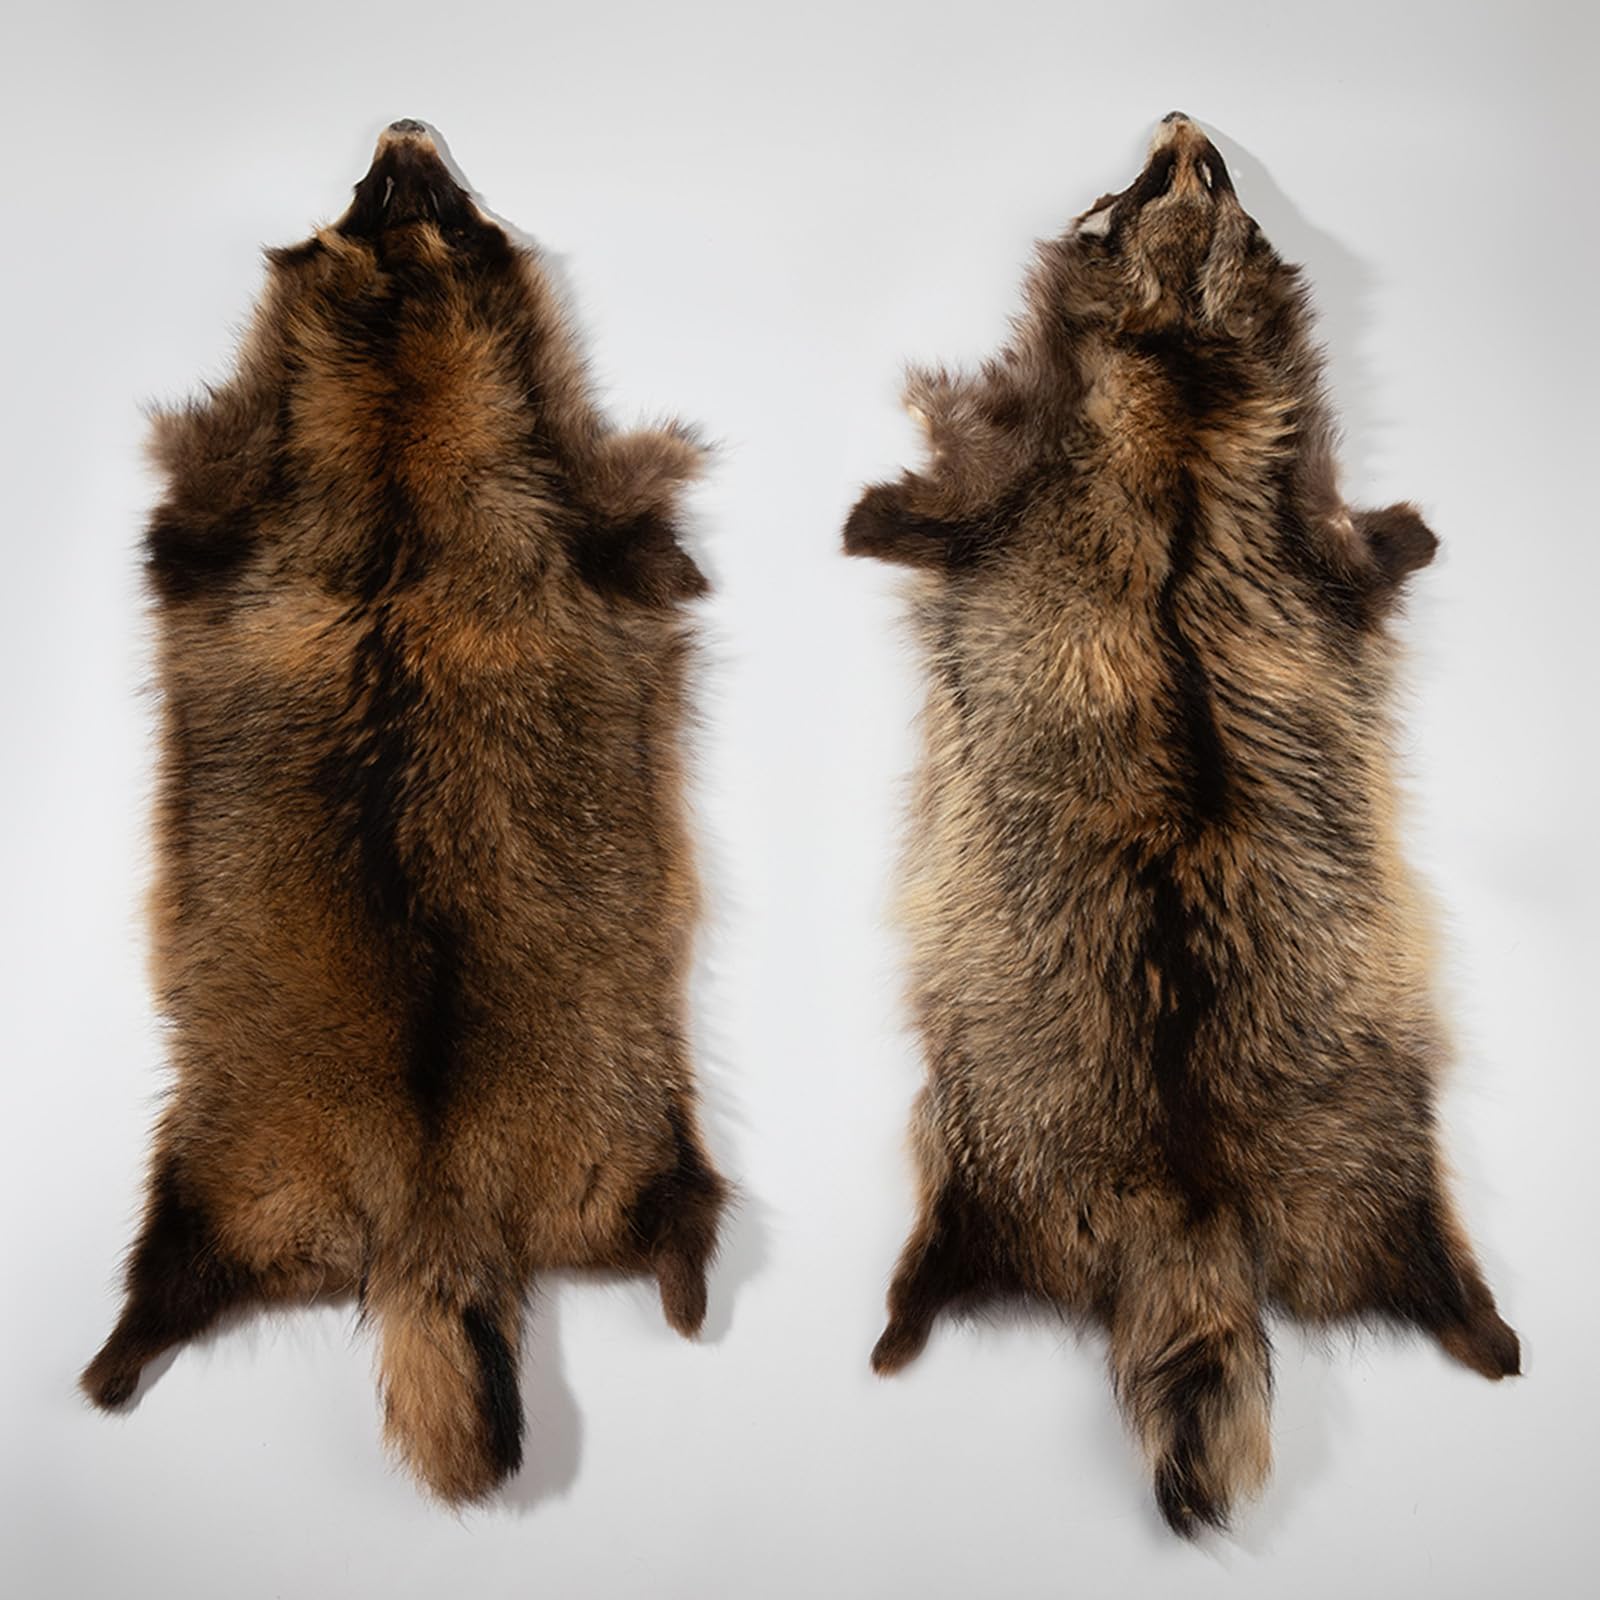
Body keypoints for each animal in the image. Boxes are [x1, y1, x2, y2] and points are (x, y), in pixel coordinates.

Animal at [845, 113, 1518, 1535]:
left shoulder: (1021, 484)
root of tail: (1192, 1193)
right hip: (1341, 1169)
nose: (1186, 119)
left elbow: (920, 506)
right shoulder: (1283, 512)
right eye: (1164, 180)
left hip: (1002, 1152)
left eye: (1202, 184)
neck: (1183, 365)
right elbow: (1360, 549)